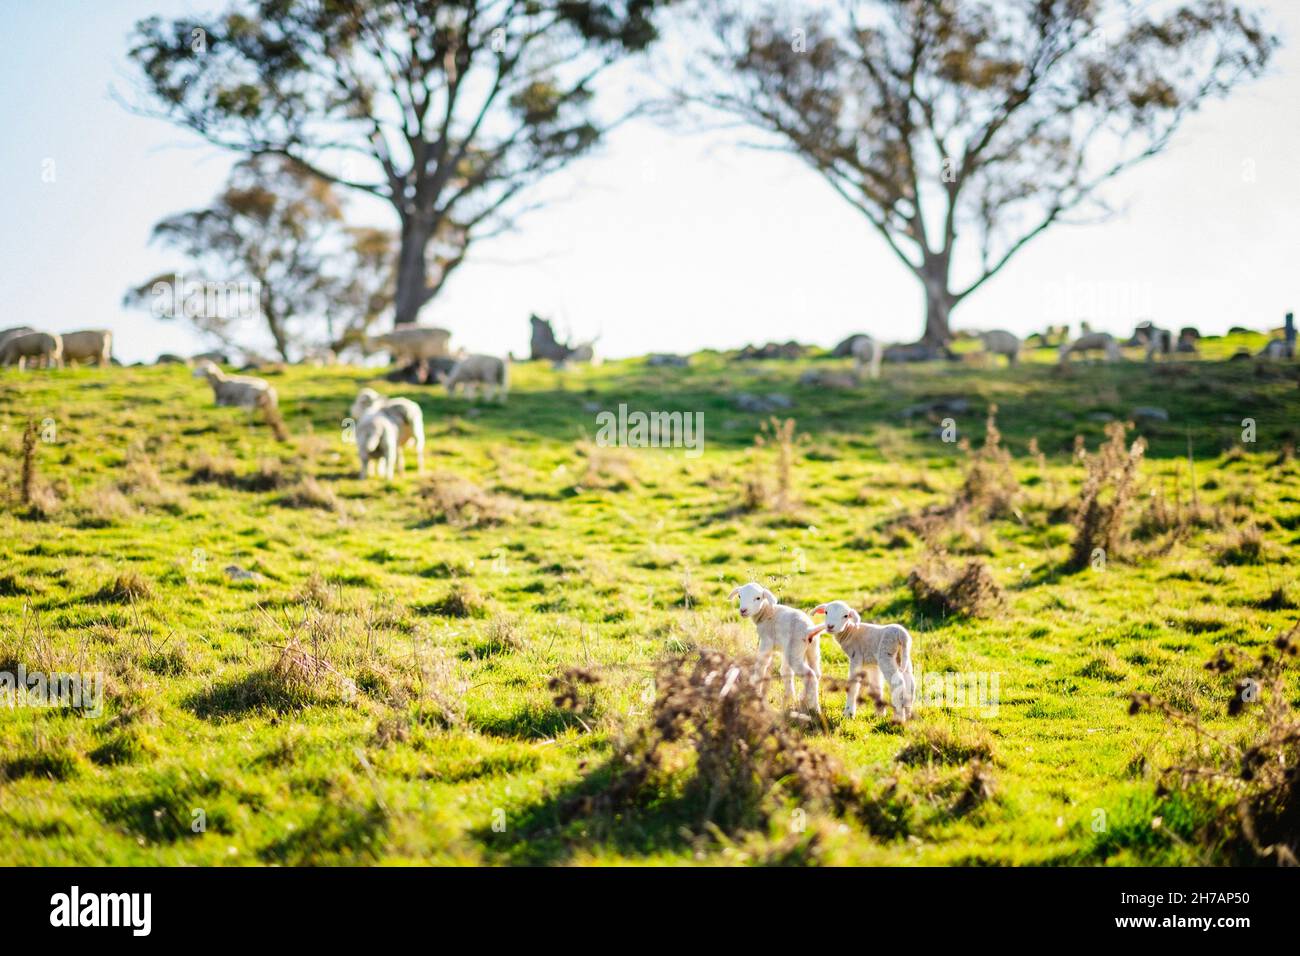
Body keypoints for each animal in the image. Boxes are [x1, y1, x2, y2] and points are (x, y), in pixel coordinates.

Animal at [728, 582, 822, 713]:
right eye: (740, 596)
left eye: (758, 598)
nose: (743, 610)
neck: (766, 612)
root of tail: (809, 629)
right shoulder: (785, 649)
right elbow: (786, 671)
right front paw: (790, 697)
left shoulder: (766, 642)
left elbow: (761, 666)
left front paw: (756, 690)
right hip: (811, 649)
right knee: (816, 672)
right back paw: (803, 698)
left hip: (795, 650)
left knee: (810, 675)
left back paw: (815, 708)